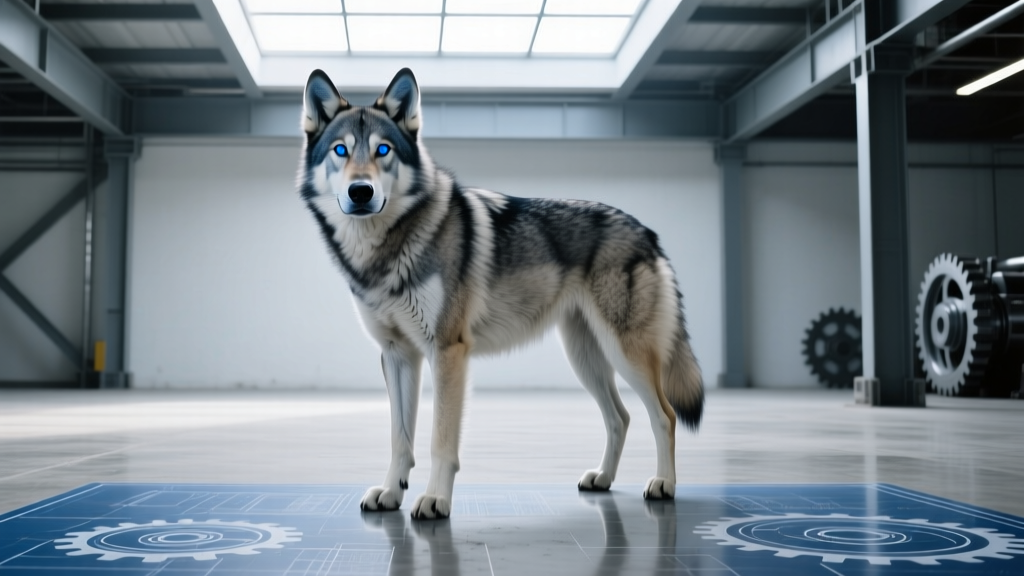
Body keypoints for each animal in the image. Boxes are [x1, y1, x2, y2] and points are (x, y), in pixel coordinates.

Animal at [299, 68, 704, 519]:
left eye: (382, 150)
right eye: (340, 150)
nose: (361, 192)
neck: (386, 250)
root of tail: (647, 231)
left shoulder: (448, 351)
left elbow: (440, 440)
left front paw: (435, 500)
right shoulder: (398, 356)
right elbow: (400, 440)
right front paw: (391, 491)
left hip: (625, 355)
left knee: (665, 415)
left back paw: (664, 484)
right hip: (585, 359)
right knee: (621, 417)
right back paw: (602, 478)